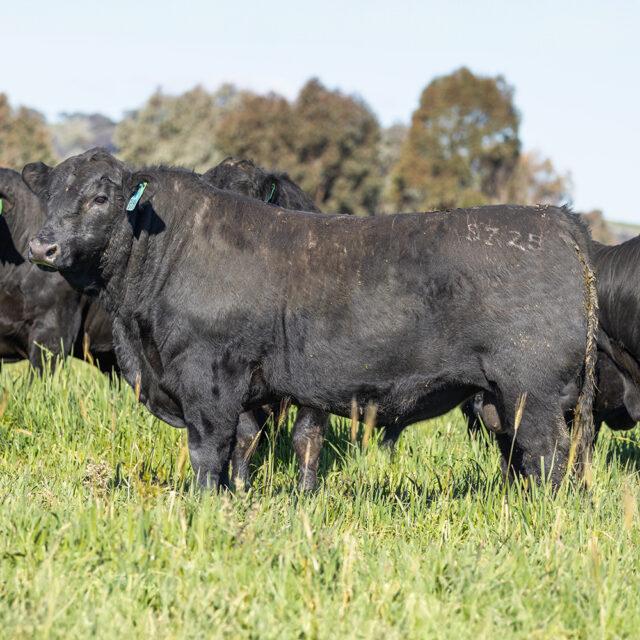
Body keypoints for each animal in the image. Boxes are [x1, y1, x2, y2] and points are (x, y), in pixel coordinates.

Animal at [25, 148, 597, 491]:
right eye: (47, 197)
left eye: (101, 197)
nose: (40, 246)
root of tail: (555, 217)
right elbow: (241, 446)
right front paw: (237, 498)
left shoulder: (210, 376)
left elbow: (209, 449)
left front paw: (204, 506)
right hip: (501, 399)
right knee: (521, 457)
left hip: (533, 390)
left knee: (549, 456)